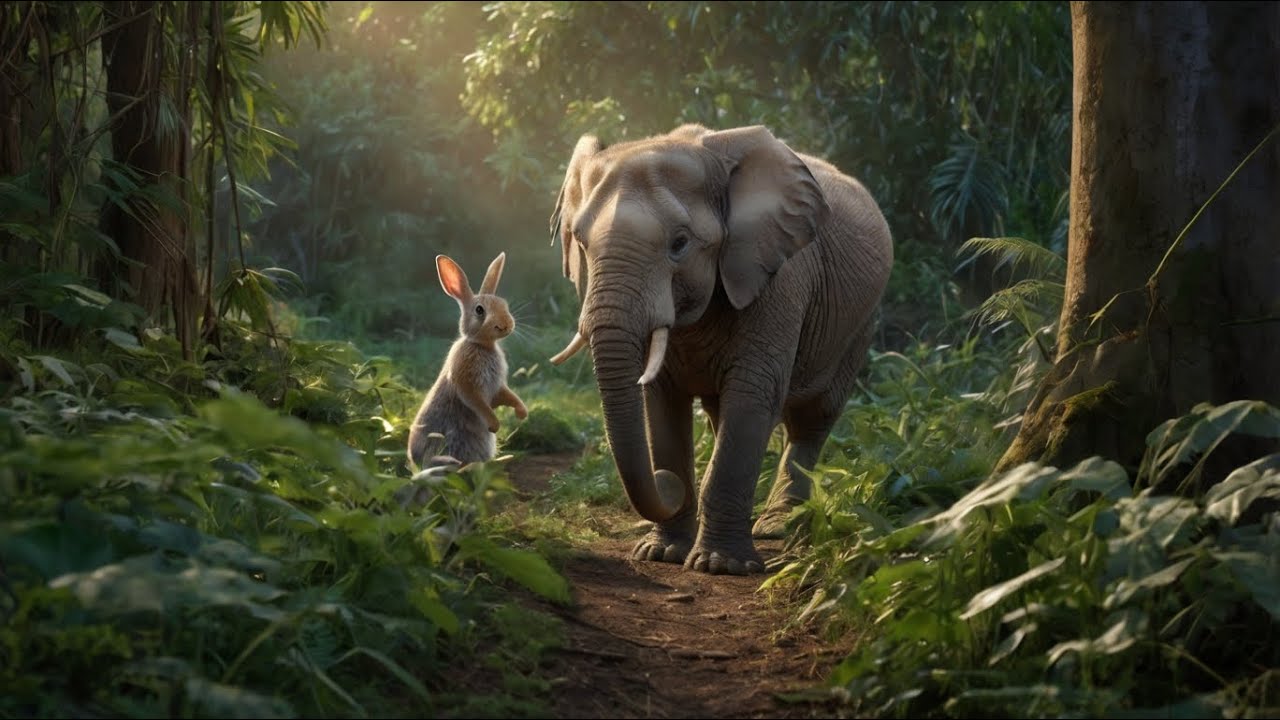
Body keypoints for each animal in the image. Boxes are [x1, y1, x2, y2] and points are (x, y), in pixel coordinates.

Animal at [547, 123, 893, 575]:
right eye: (580, 241)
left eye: (679, 243)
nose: (667, 484)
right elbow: (660, 401)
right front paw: (661, 554)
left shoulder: (778, 278)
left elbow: (751, 397)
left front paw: (720, 566)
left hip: (860, 324)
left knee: (813, 417)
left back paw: (778, 527)